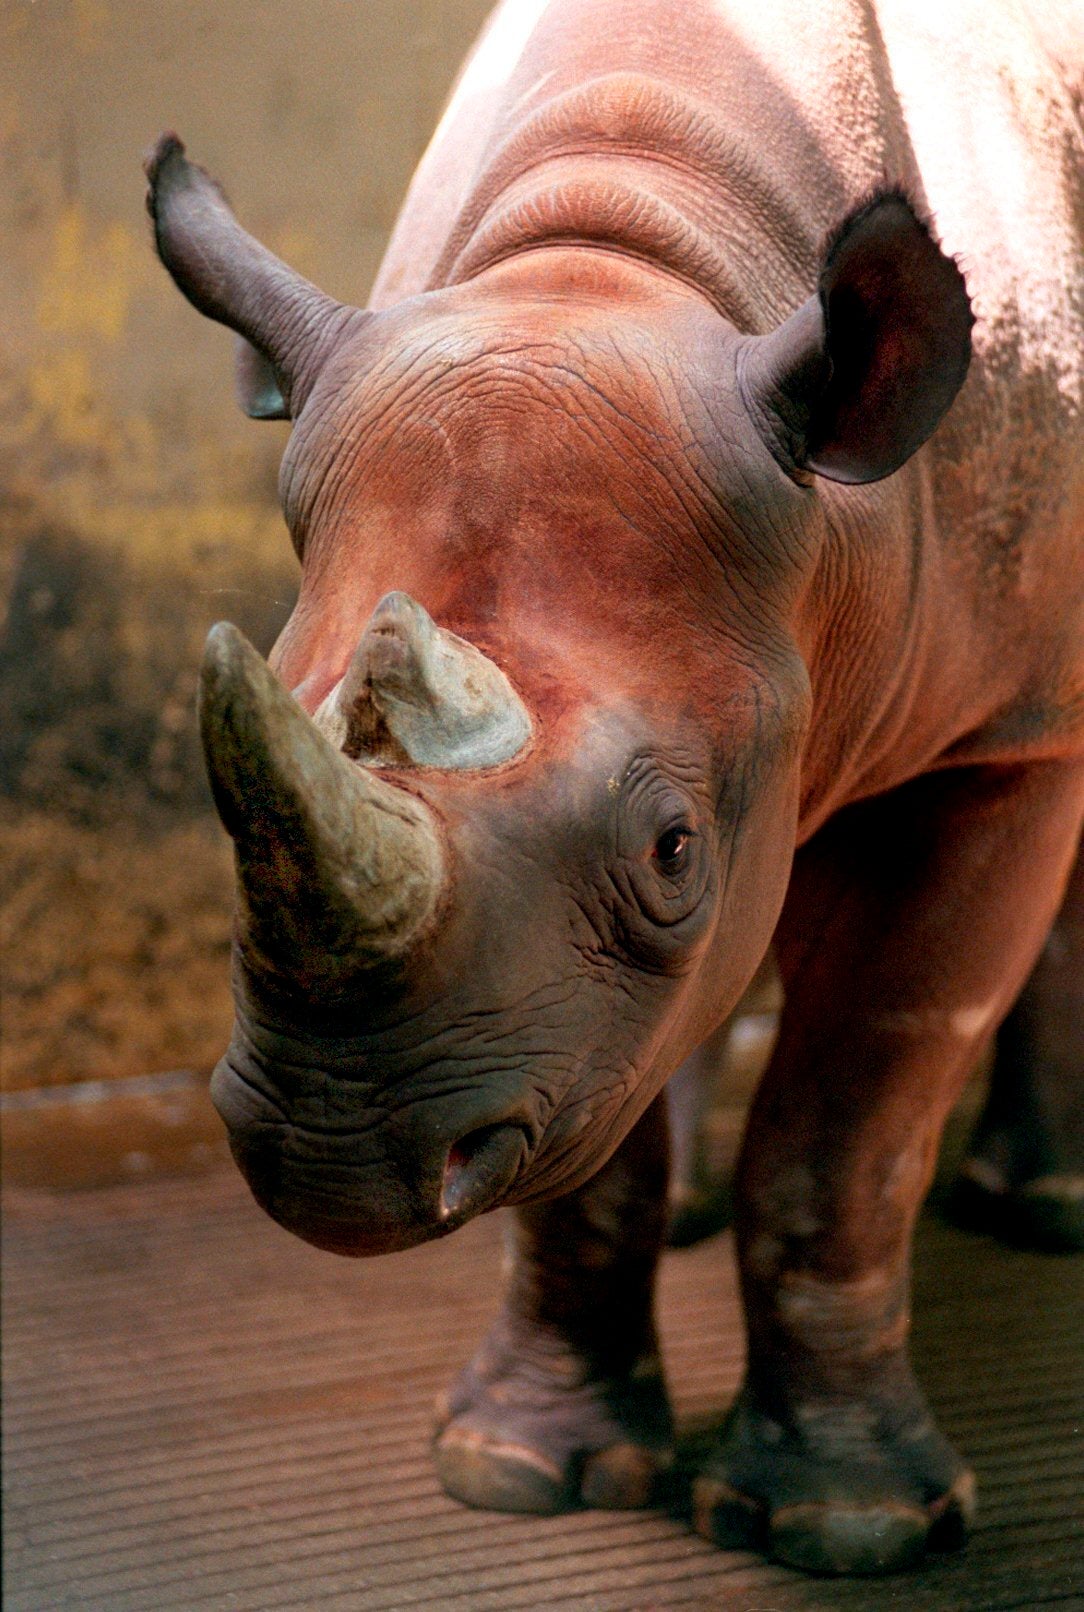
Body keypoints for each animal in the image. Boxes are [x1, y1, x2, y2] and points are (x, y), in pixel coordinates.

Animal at [146, 0, 1084, 1576]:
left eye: (672, 850)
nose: (327, 1158)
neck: (623, 262)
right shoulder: (544, 990)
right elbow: (592, 1120)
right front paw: (526, 1468)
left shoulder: (993, 737)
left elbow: (849, 1118)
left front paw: (849, 1525)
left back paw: (1045, 1207)